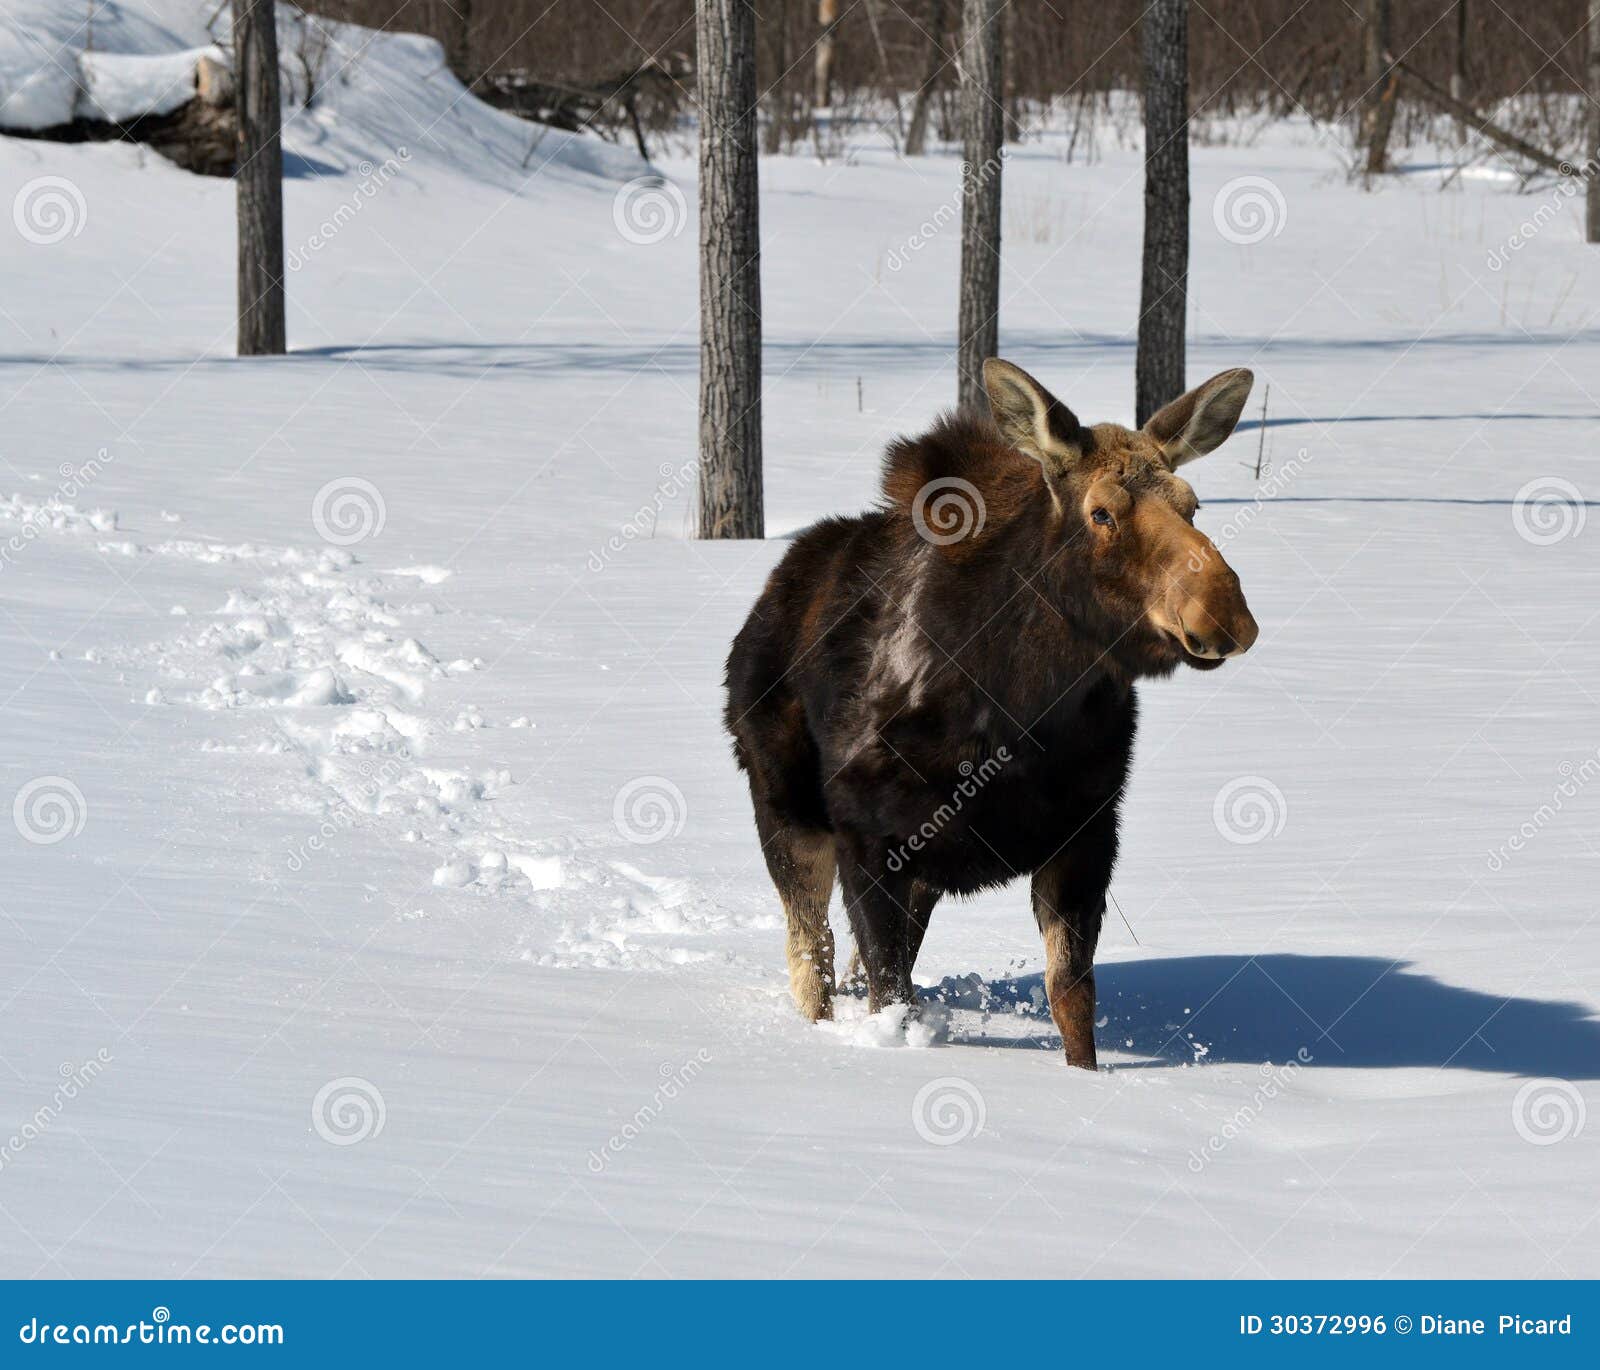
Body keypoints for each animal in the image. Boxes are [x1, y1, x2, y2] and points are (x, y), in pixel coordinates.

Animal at [724, 360, 1259, 1068]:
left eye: (1192, 505)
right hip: (786, 810)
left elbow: (1072, 1000)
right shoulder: (867, 840)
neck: (1024, 711)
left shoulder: (1085, 835)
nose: (1225, 614)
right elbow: (888, 995)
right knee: (813, 956)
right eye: (1102, 513)